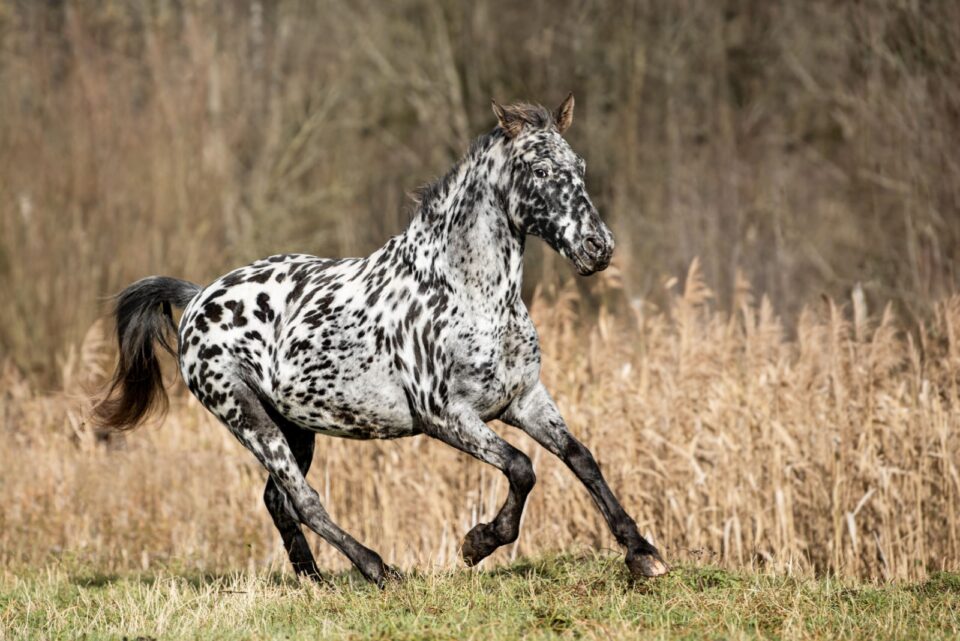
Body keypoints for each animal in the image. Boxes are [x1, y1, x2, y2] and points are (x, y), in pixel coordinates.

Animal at [95, 94, 669, 586]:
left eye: (580, 167)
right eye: (541, 170)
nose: (598, 248)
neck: (468, 292)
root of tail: (198, 297)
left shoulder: (524, 399)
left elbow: (582, 459)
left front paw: (643, 554)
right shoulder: (446, 416)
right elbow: (522, 468)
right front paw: (477, 543)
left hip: (294, 425)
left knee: (279, 501)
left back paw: (315, 582)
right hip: (247, 417)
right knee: (304, 500)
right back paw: (377, 569)